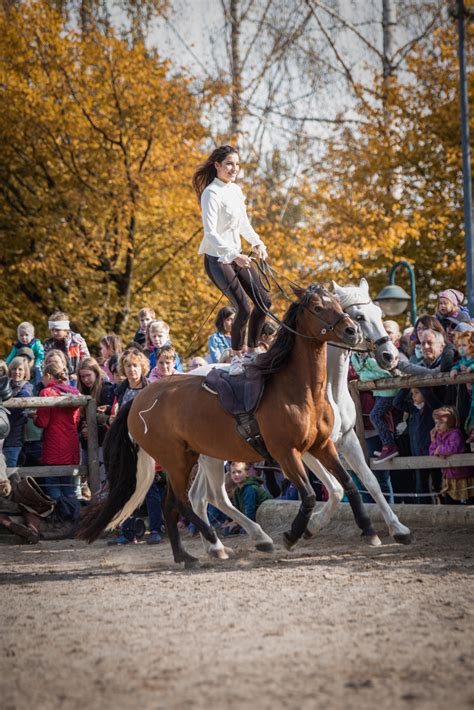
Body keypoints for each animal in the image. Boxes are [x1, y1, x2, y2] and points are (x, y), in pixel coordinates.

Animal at [78, 284, 380, 567]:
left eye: (337, 304)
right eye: (318, 307)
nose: (352, 331)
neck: (298, 390)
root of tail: (138, 399)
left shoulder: (323, 445)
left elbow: (349, 485)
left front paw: (369, 529)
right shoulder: (286, 453)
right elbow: (308, 495)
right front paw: (293, 535)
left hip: (192, 457)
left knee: (177, 504)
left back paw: (188, 554)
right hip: (178, 461)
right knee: (187, 502)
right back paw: (220, 543)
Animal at [188, 278, 411, 557]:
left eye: (380, 314)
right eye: (359, 316)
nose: (390, 356)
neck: (327, 389)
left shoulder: (347, 439)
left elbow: (369, 481)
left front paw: (398, 528)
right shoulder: (305, 451)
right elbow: (336, 488)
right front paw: (310, 527)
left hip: (212, 454)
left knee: (198, 497)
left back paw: (215, 546)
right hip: (212, 456)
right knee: (215, 496)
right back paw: (250, 539)